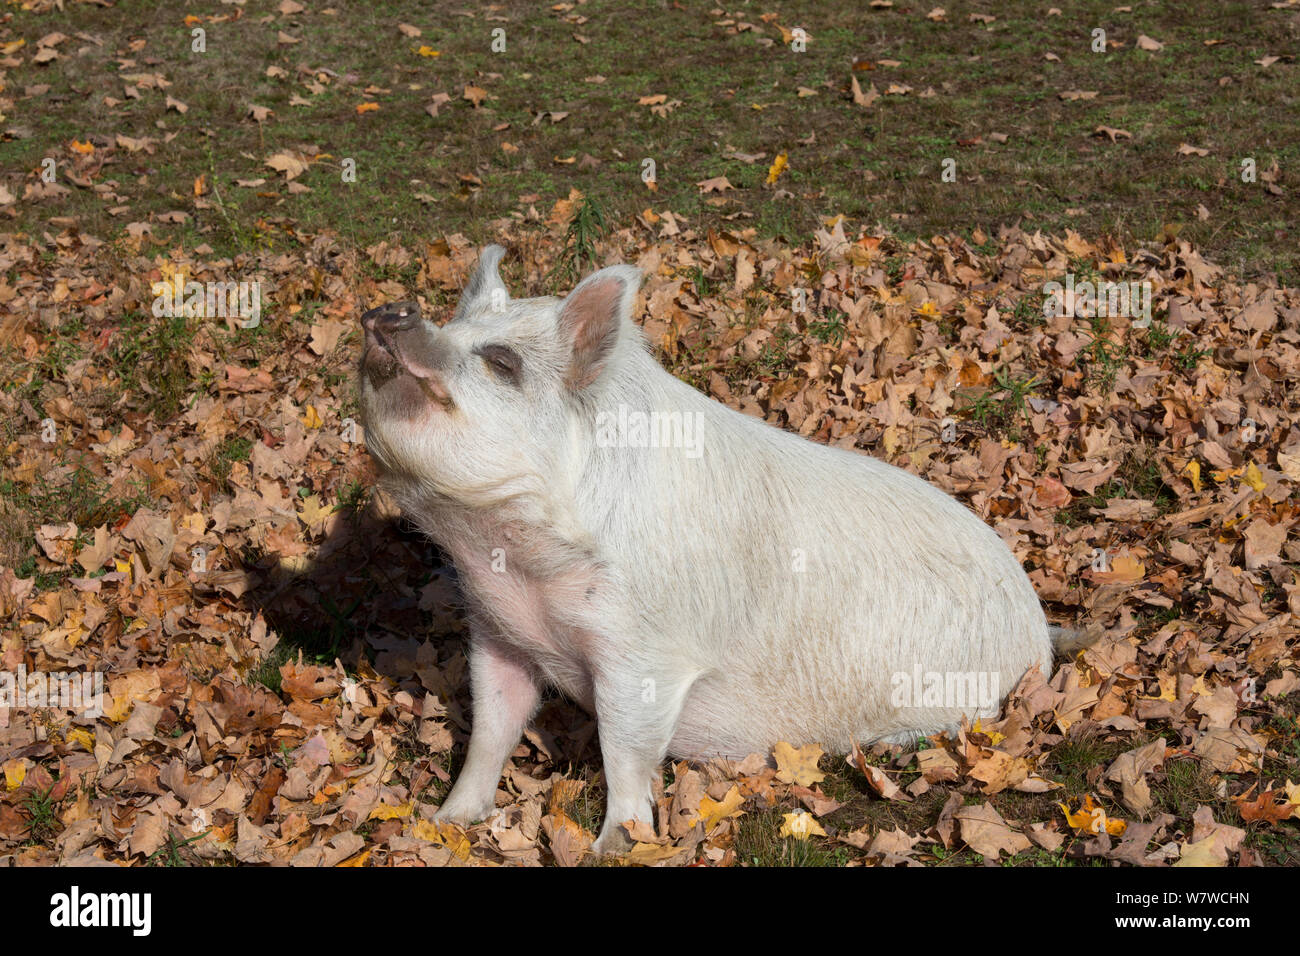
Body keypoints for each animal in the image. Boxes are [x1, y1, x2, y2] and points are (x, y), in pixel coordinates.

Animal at [358, 245, 1063, 854]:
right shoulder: (496, 626)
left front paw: (613, 848)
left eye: (502, 362)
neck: (514, 565)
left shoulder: (648, 645)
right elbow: (492, 725)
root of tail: (1040, 634)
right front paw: (443, 822)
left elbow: (625, 747)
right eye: (455, 325)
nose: (391, 311)